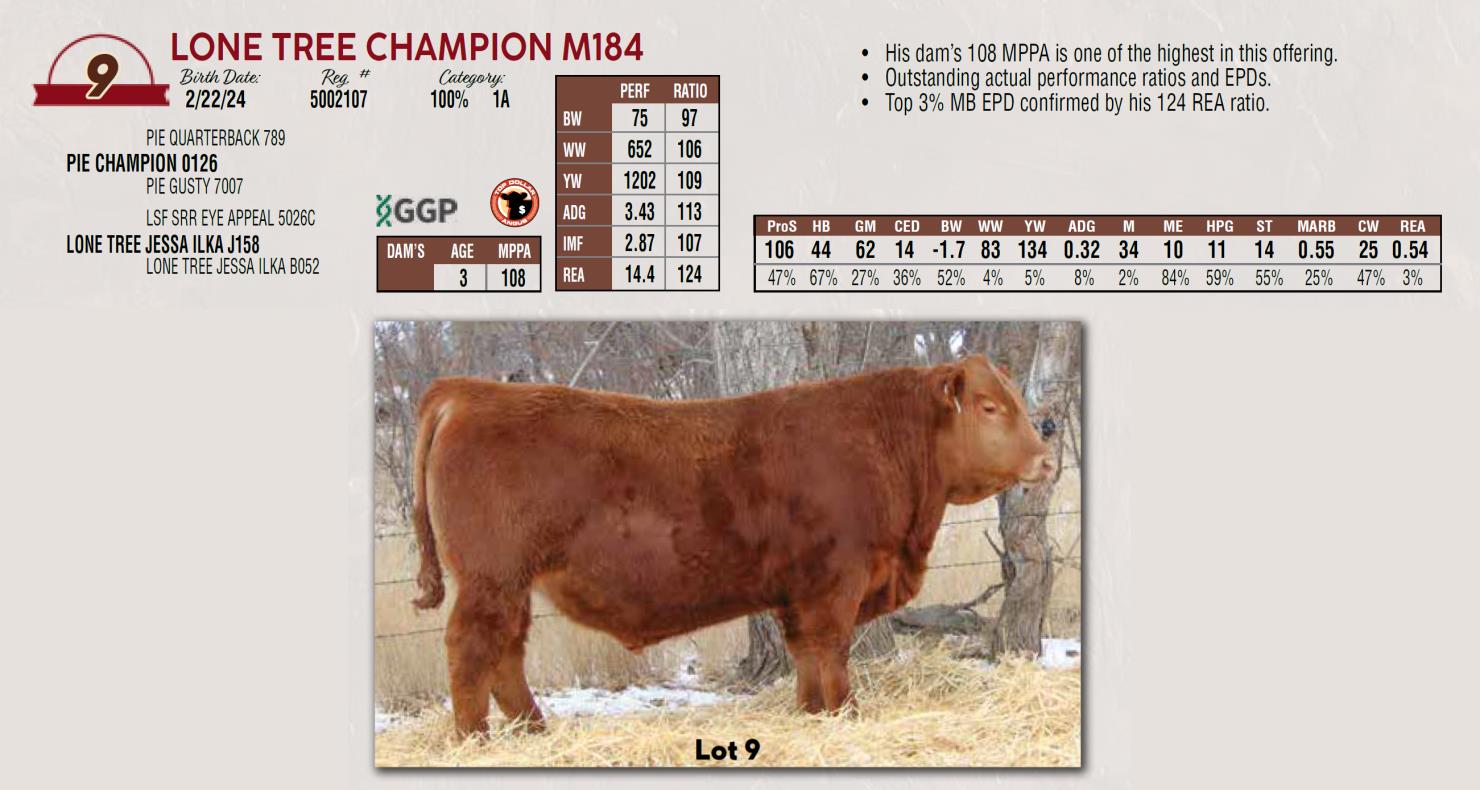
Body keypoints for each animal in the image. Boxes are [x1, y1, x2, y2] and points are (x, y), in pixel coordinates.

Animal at [408, 354, 1055, 736]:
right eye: (990, 406)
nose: (1047, 460)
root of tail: (467, 390)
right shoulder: (836, 581)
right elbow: (833, 650)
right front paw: (846, 714)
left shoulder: (799, 590)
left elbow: (806, 656)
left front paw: (810, 713)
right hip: (491, 578)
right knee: (470, 649)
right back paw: (474, 740)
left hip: (508, 583)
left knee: (506, 655)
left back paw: (535, 731)